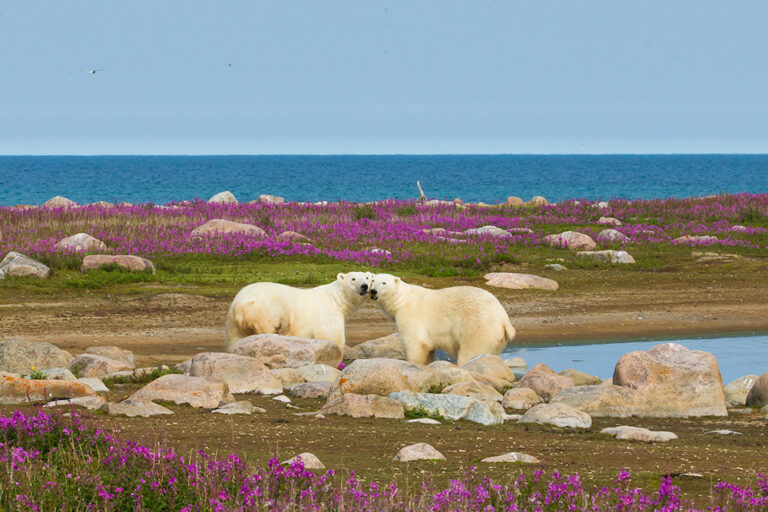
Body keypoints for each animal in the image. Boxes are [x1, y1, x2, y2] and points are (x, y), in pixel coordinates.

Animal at [225, 271, 373, 353]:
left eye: (367, 278)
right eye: (353, 279)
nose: (364, 286)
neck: (337, 299)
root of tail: (240, 304)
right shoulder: (328, 315)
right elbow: (332, 337)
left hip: (234, 323)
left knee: (236, 338)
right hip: (264, 311)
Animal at [368, 273, 516, 366]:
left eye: (384, 282)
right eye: (372, 281)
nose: (373, 291)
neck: (402, 300)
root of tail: (503, 318)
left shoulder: (411, 315)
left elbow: (415, 344)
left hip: (478, 327)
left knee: (471, 351)